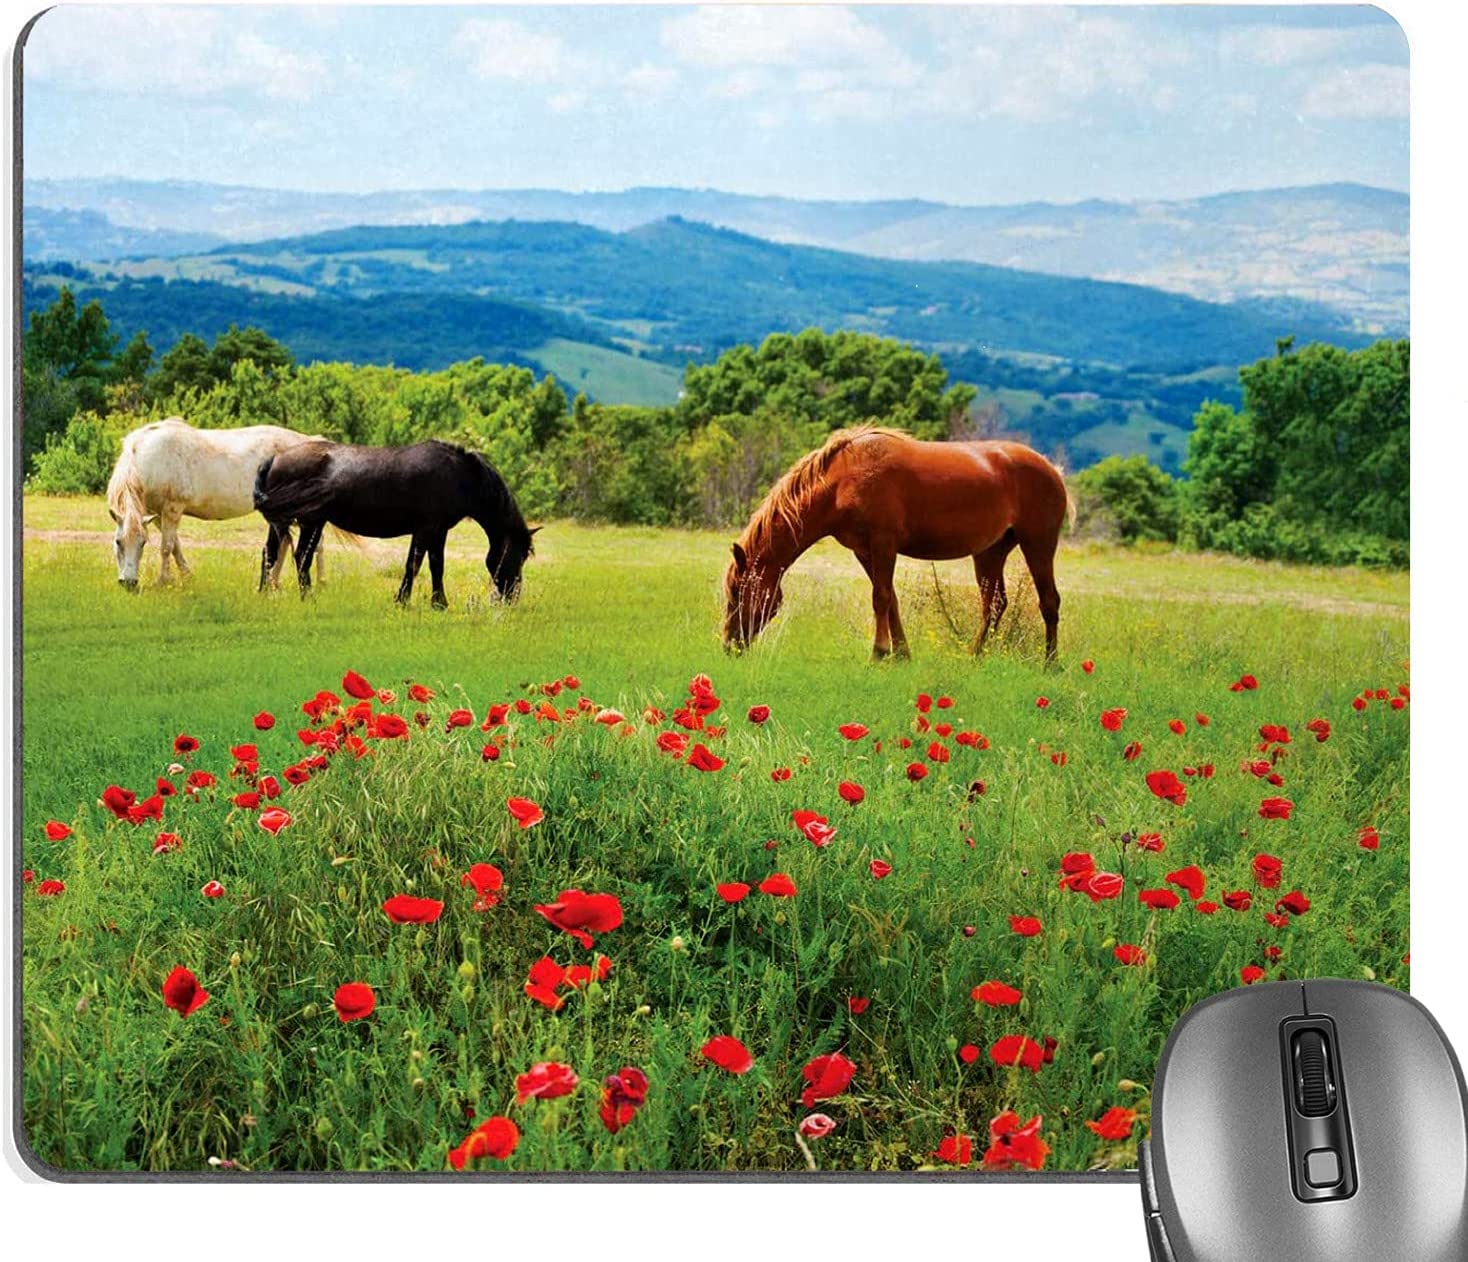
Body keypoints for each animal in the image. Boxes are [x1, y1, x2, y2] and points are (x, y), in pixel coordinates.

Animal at [106, 417, 333, 590]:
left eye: (143, 543)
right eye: (118, 542)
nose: (129, 583)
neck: (151, 459)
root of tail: (310, 440)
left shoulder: (172, 509)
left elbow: (166, 547)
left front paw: (163, 582)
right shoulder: (156, 514)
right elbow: (176, 546)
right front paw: (188, 577)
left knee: (315, 543)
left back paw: (321, 583)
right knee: (287, 542)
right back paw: (275, 583)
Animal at [252, 438, 537, 607]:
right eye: (519, 555)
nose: (512, 597)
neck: (458, 476)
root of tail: (275, 459)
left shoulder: (435, 531)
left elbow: (432, 565)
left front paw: (434, 602)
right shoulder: (428, 529)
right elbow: (418, 564)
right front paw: (409, 601)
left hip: (296, 523)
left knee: (274, 554)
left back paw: (267, 594)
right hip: (307, 522)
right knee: (299, 556)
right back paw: (307, 597)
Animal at [722, 425, 1073, 662]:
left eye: (738, 591)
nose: (730, 645)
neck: (842, 482)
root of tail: (1052, 470)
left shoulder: (883, 544)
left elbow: (880, 598)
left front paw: (878, 653)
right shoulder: (864, 551)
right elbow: (890, 600)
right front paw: (902, 654)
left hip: (1038, 543)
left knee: (1049, 601)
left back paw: (1051, 664)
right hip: (990, 552)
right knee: (995, 604)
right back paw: (974, 657)